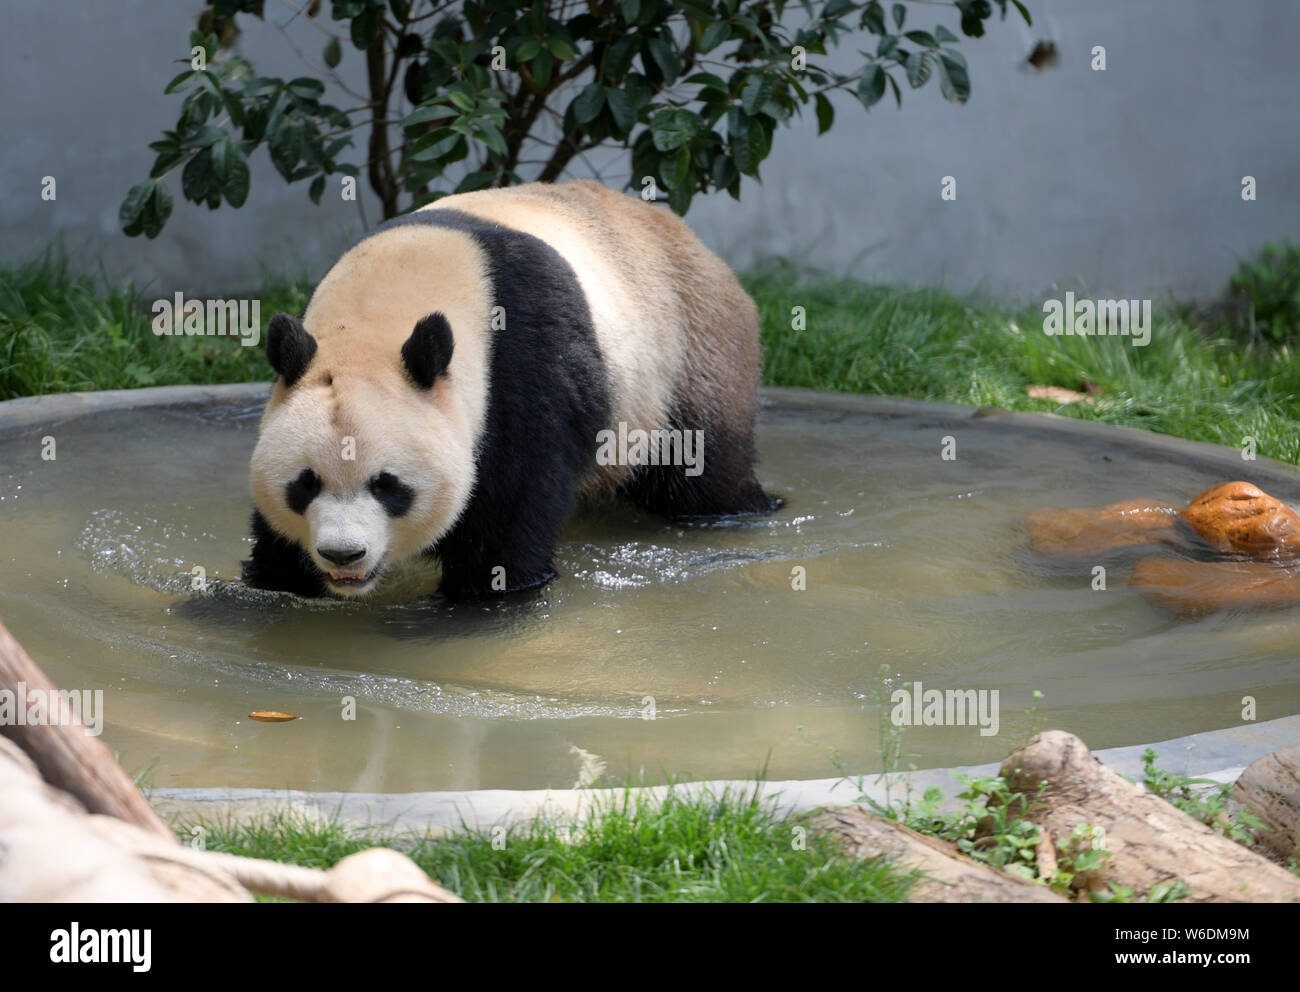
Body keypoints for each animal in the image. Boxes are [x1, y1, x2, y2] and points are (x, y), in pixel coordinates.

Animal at [244, 179, 779, 599]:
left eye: (388, 485)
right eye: (305, 483)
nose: (343, 554)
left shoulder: (520, 368)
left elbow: (510, 507)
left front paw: (478, 598)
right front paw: (278, 580)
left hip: (689, 349)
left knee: (701, 469)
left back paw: (745, 508)